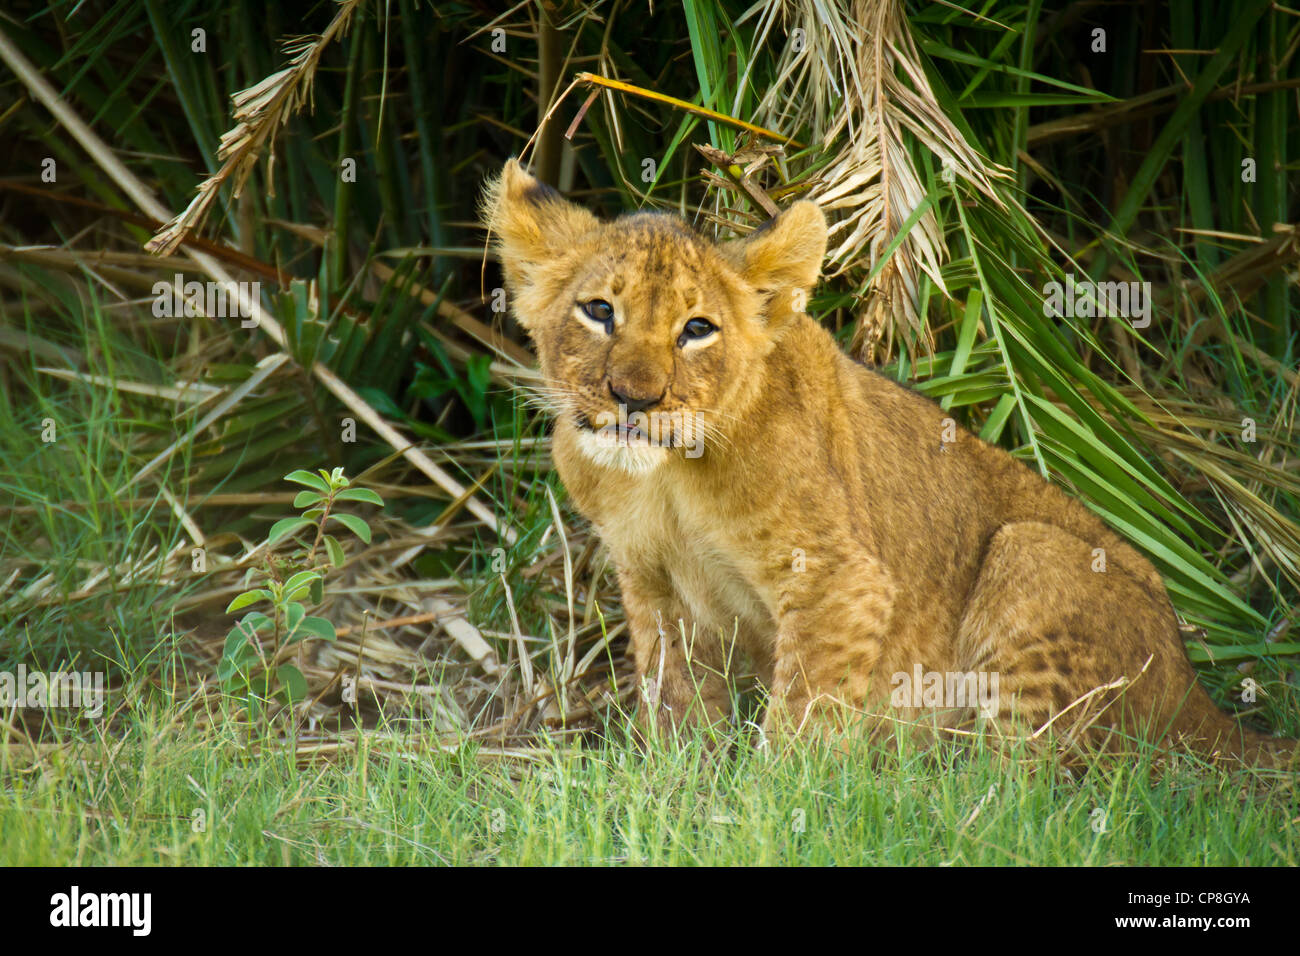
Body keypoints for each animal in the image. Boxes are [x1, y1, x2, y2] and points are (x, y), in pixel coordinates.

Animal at [483, 158, 1294, 767]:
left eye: (697, 330)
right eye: (599, 312)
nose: (633, 397)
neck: (666, 480)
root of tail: (1200, 703)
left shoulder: (841, 580)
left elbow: (803, 717)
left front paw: (763, 808)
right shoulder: (651, 582)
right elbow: (675, 695)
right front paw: (683, 784)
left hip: (1030, 553)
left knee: (1023, 792)